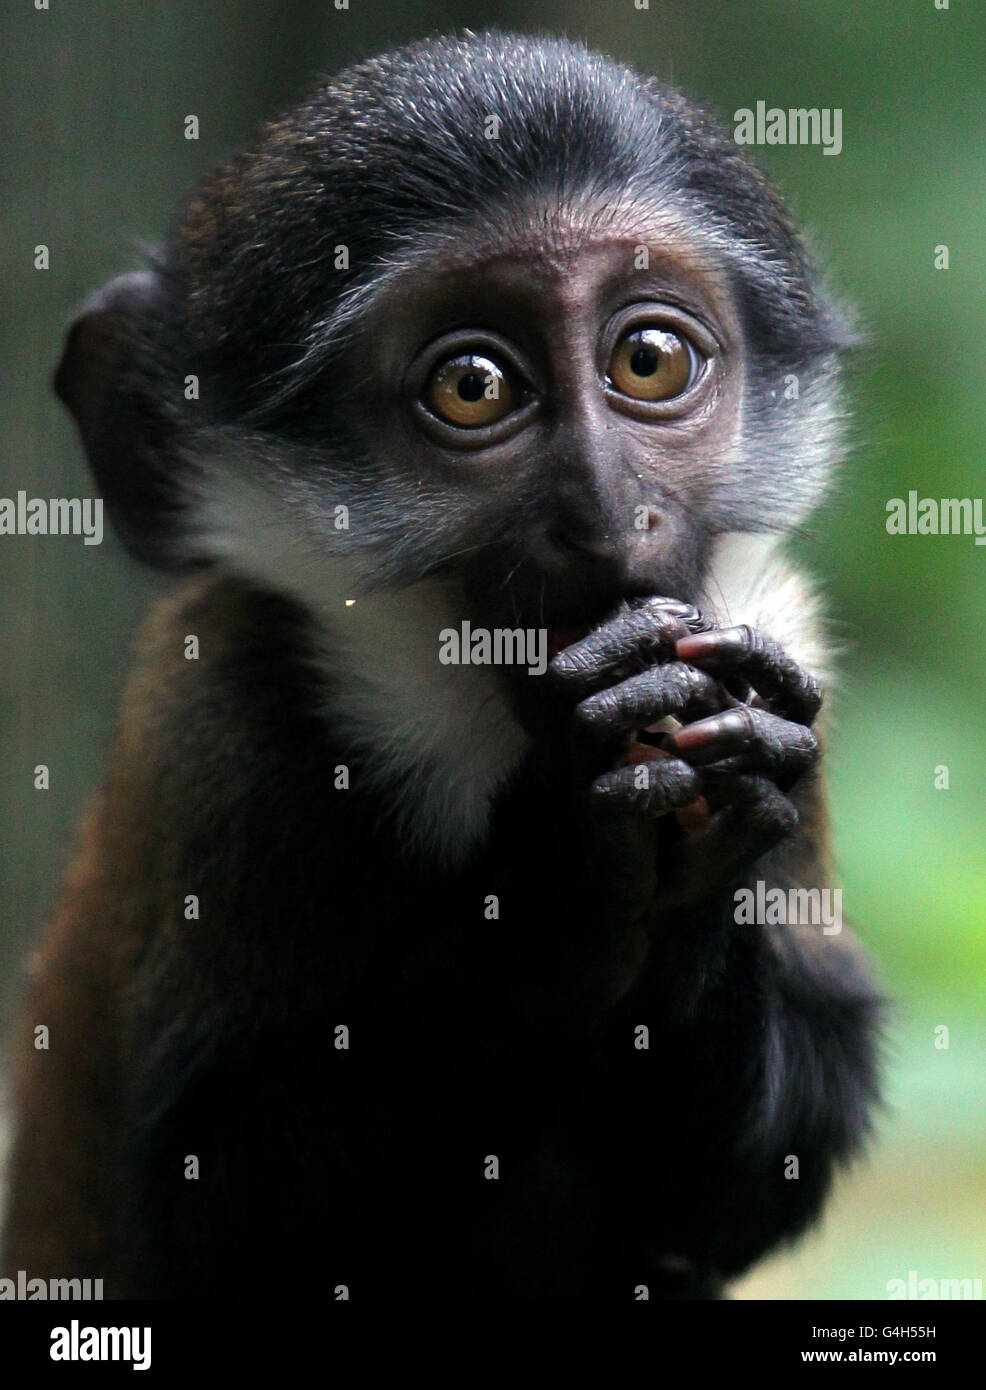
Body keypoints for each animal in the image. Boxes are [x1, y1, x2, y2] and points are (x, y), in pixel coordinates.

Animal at [2, 31, 881, 1300]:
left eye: (648, 360)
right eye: (473, 386)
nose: (606, 513)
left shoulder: (782, 647)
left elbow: (745, 1190)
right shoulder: (216, 708)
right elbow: (214, 1192)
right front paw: (564, 863)